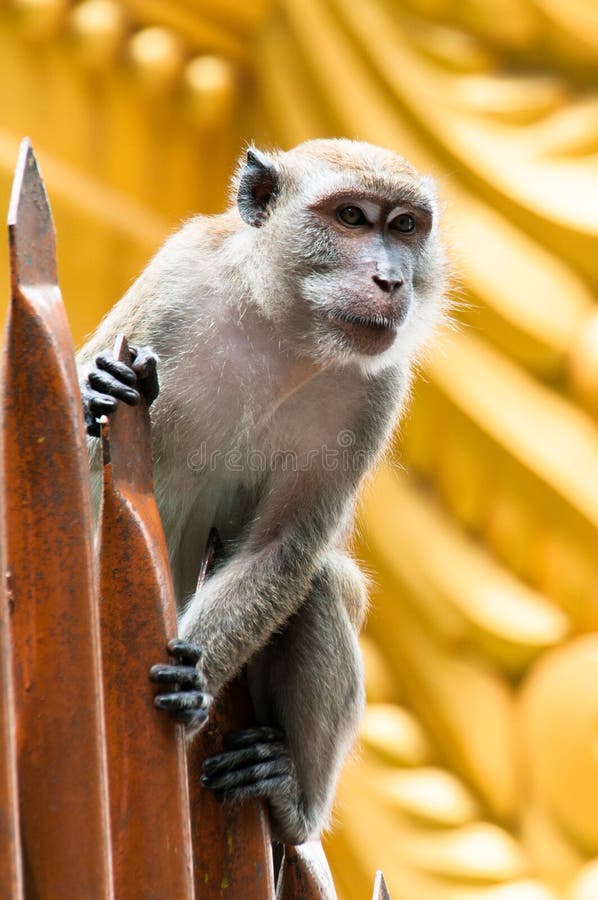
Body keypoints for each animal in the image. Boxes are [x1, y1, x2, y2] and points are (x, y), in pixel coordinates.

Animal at [78, 139, 447, 845]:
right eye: (352, 218)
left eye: (404, 227)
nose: (392, 281)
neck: (285, 328)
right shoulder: (178, 277)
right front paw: (95, 391)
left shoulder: (376, 391)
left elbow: (281, 548)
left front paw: (194, 682)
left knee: (320, 585)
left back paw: (289, 796)